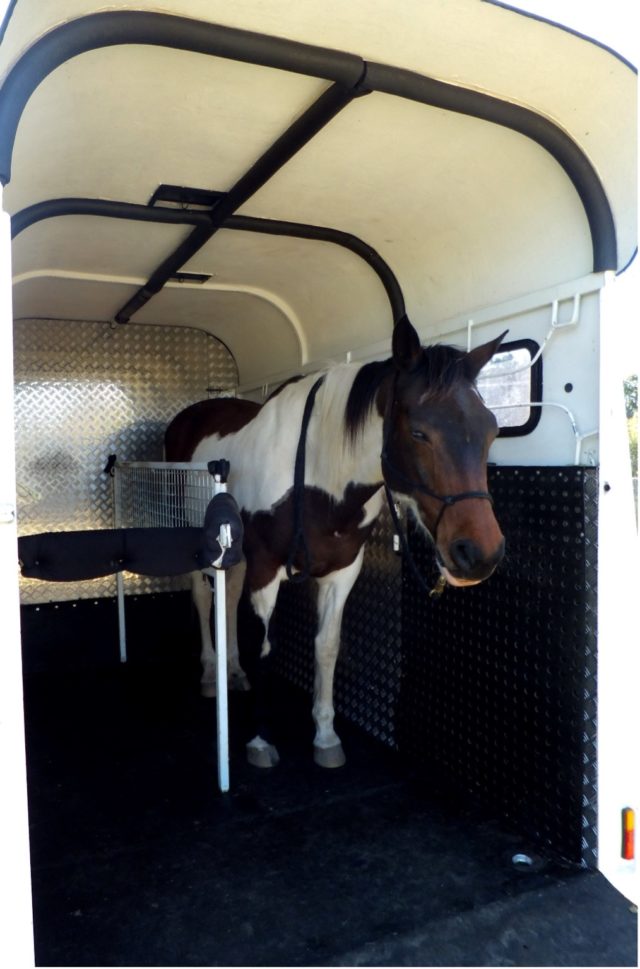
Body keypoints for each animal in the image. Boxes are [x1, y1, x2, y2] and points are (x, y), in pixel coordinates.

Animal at [165, 315, 506, 769]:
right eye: (419, 432)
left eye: (492, 430)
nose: (480, 553)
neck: (315, 478)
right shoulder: (266, 570)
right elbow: (267, 649)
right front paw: (261, 740)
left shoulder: (341, 573)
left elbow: (327, 647)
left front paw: (326, 736)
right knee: (205, 600)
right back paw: (209, 672)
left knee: (230, 597)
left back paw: (232, 670)